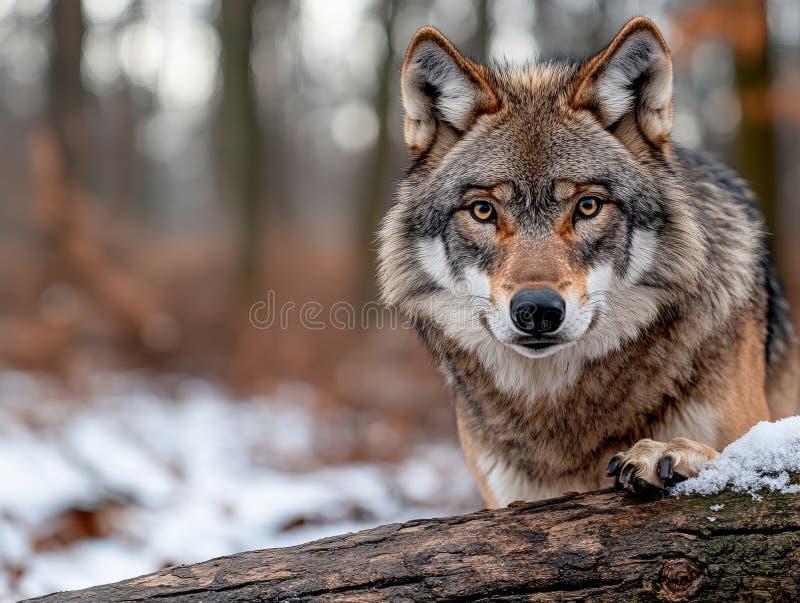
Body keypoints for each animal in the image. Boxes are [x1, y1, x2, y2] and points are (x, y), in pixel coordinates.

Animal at [377, 17, 799, 507]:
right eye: (483, 210)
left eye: (588, 206)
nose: (536, 310)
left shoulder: (755, 428)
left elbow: (743, 455)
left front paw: (671, 454)